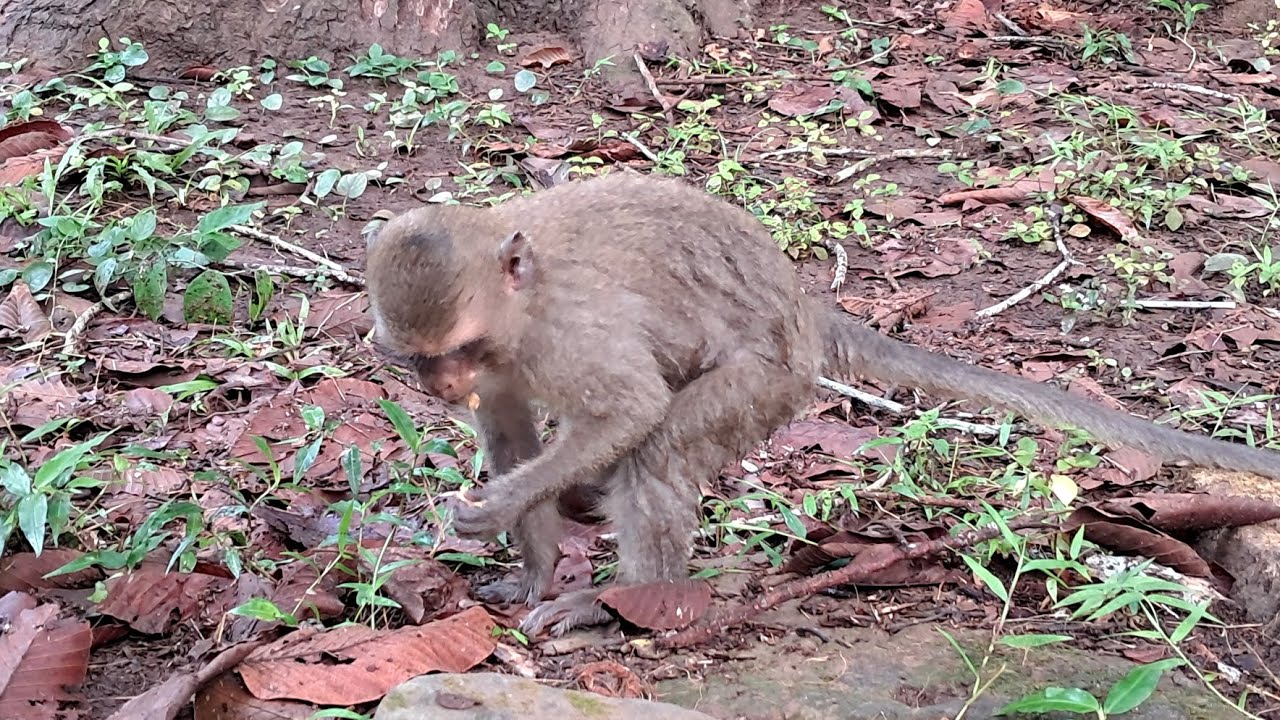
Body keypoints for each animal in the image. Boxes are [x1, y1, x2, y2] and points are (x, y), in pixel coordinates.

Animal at [365, 171, 1280, 636]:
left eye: (454, 351)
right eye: (415, 361)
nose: (439, 389)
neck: (520, 309)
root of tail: (803, 307)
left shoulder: (570, 334)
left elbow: (629, 410)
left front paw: (499, 514)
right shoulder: (509, 368)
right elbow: (511, 433)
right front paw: (532, 564)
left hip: (769, 377)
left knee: (660, 448)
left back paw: (626, 606)